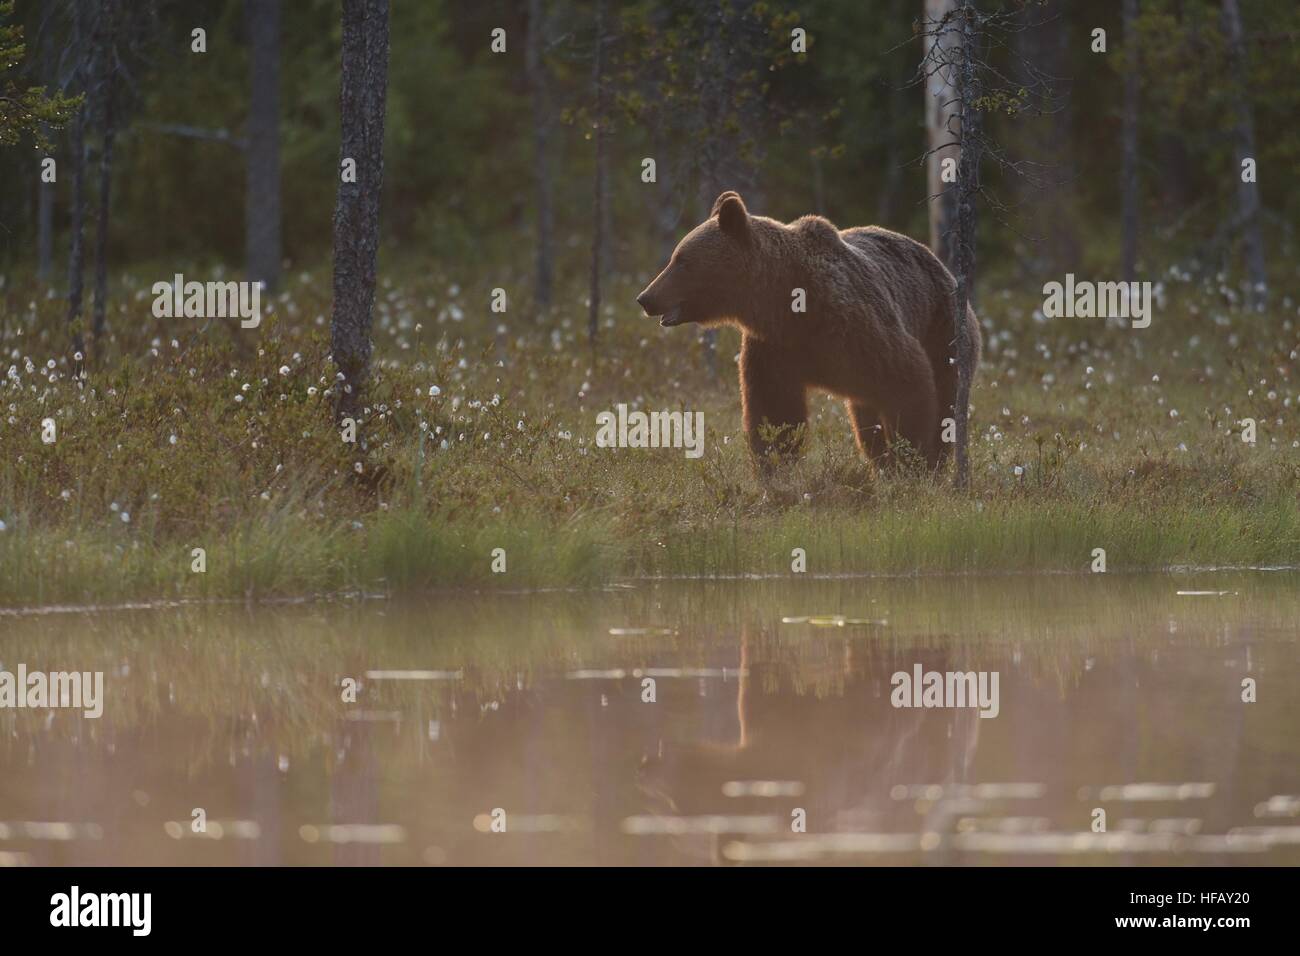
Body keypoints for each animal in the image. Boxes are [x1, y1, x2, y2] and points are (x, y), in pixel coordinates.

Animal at [635, 190, 980, 473]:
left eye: (681, 260)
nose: (645, 297)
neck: (783, 302)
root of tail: (944, 269)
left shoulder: (855, 325)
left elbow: (907, 380)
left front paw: (914, 462)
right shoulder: (774, 346)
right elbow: (775, 410)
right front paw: (776, 469)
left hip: (944, 332)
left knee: (945, 398)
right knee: (866, 418)